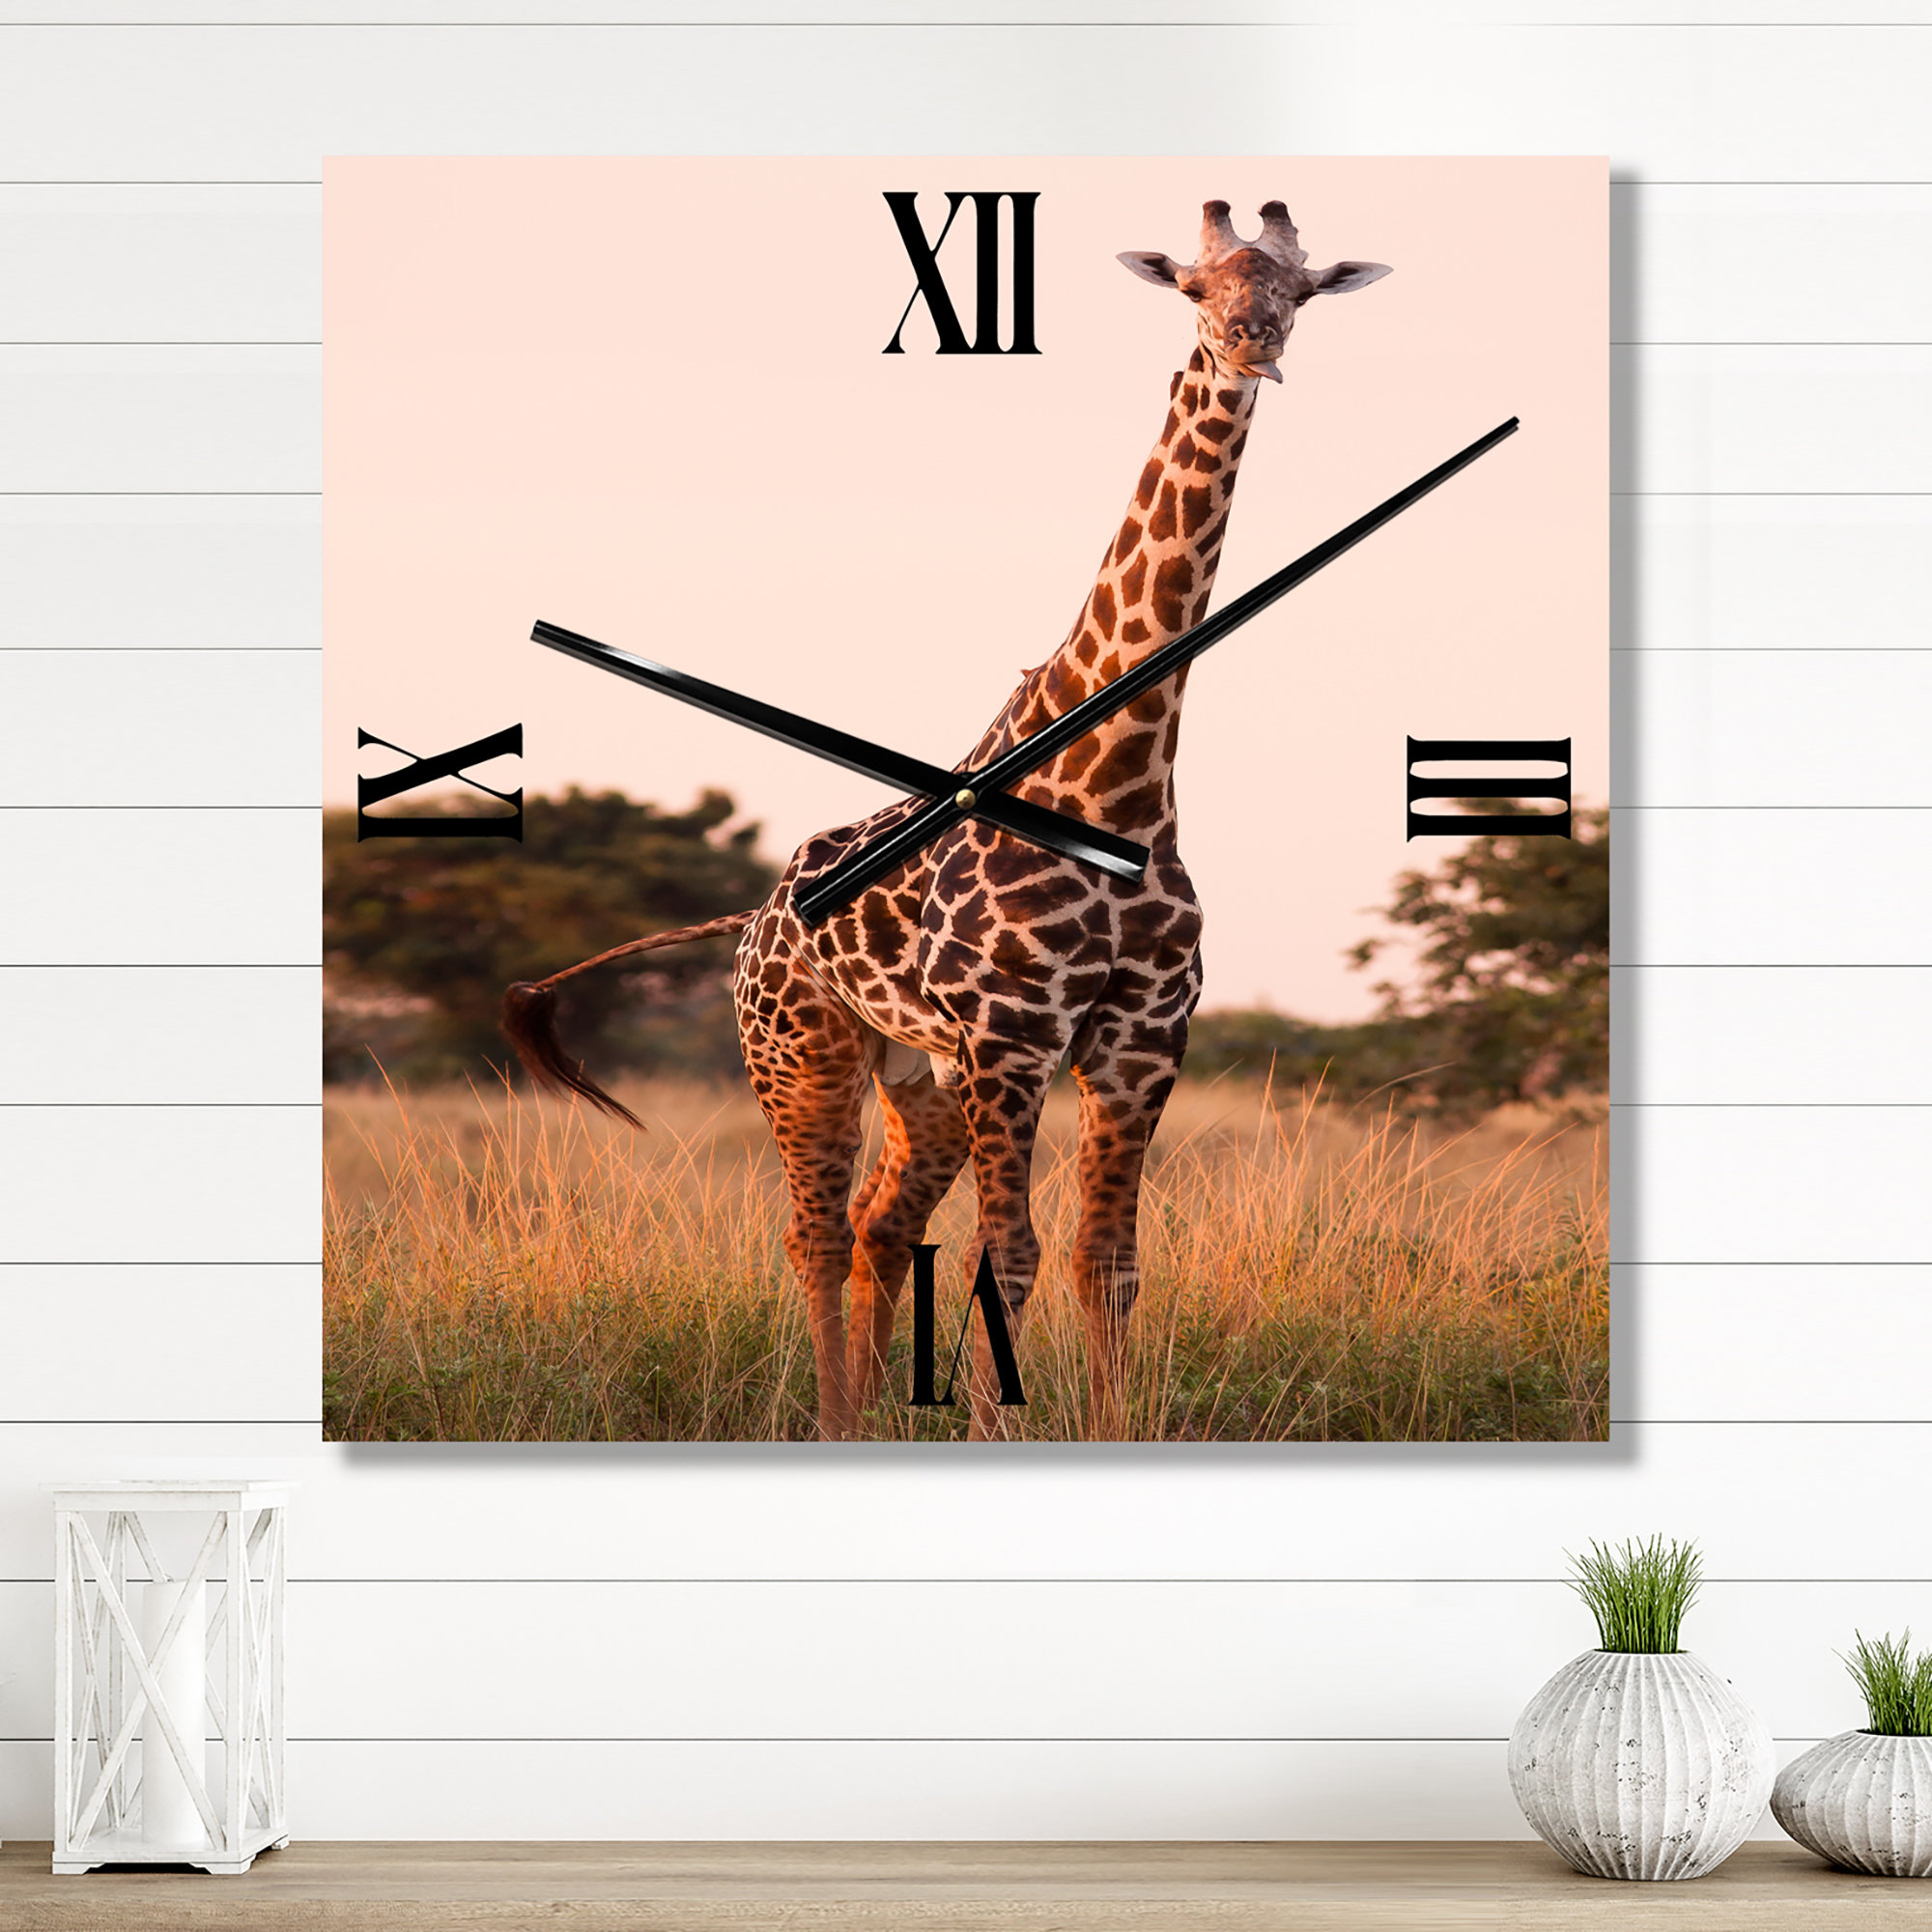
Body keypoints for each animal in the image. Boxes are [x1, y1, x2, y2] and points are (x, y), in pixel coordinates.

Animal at [504, 199, 1390, 1441]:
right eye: (1190, 288)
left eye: (1298, 290)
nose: (1249, 344)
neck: (1119, 784)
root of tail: (750, 920)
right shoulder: (1010, 1037)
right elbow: (1006, 1257)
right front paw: (993, 1424)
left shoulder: (1138, 1043)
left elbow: (1107, 1262)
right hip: (801, 1054)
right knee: (815, 1232)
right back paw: (834, 1419)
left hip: (913, 1076)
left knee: (880, 1224)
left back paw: (873, 1412)